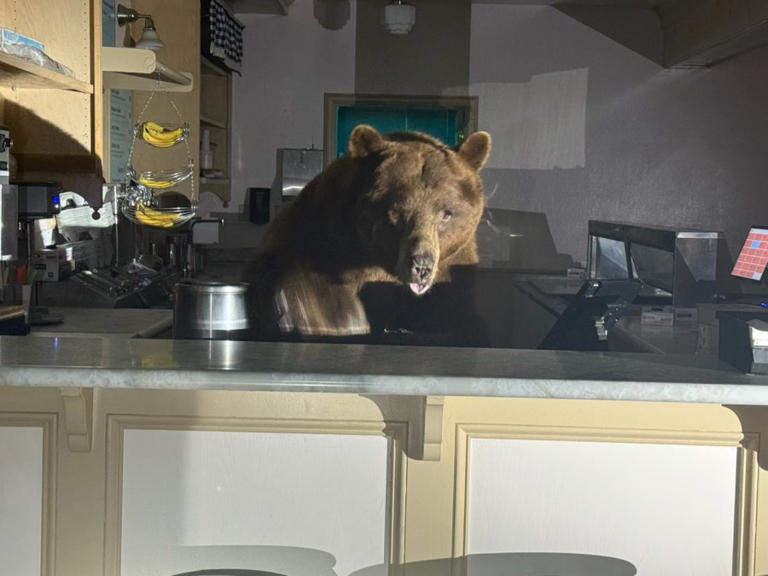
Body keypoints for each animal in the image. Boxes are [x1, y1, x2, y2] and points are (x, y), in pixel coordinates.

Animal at [244, 124, 492, 339]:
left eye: (446, 213)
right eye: (396, 210)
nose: (421, 266)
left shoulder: (455, 262)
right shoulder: (319, 236)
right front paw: (341, 318)